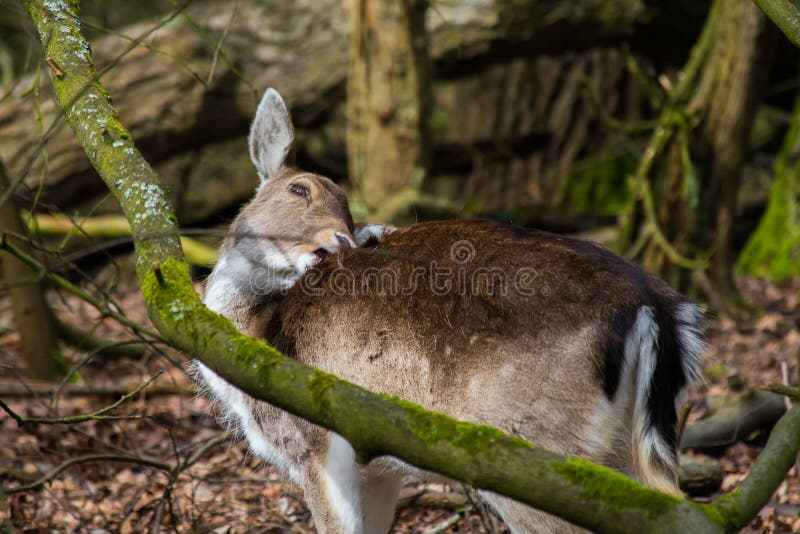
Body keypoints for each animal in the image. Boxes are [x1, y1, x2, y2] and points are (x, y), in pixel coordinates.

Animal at [195, 88, 704, 533]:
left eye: (347, 211)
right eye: (299, 190)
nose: (341, 241)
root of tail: (653, 307)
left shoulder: (311, 446)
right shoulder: (376, 467)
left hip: (538, 451)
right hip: (626, 449)